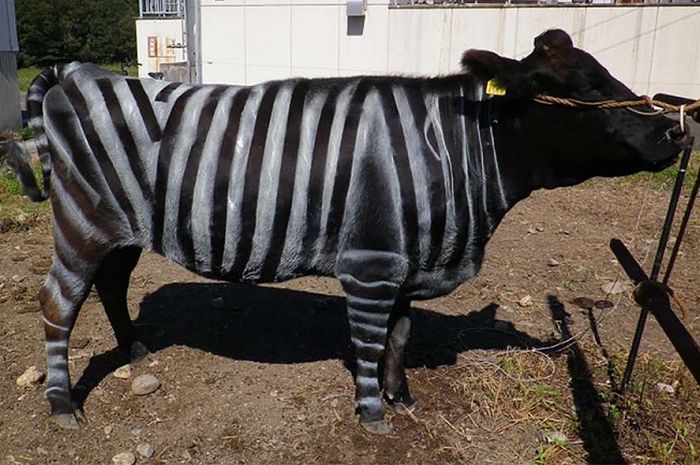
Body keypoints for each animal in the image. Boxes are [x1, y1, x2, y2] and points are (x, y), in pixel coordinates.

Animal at [8, 29, 686, 433]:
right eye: (581, 89)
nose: (678, 130)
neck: (452, 152)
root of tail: (79, 73)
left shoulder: (411, 260)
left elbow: (400, 337)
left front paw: (401, 397)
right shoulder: (371, 264)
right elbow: (367, 342)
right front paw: (372, 416)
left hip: (123, 228)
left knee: (112, 286)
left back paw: (136, 352)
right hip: (83, 221)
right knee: (59, 302)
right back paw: (64, 406)